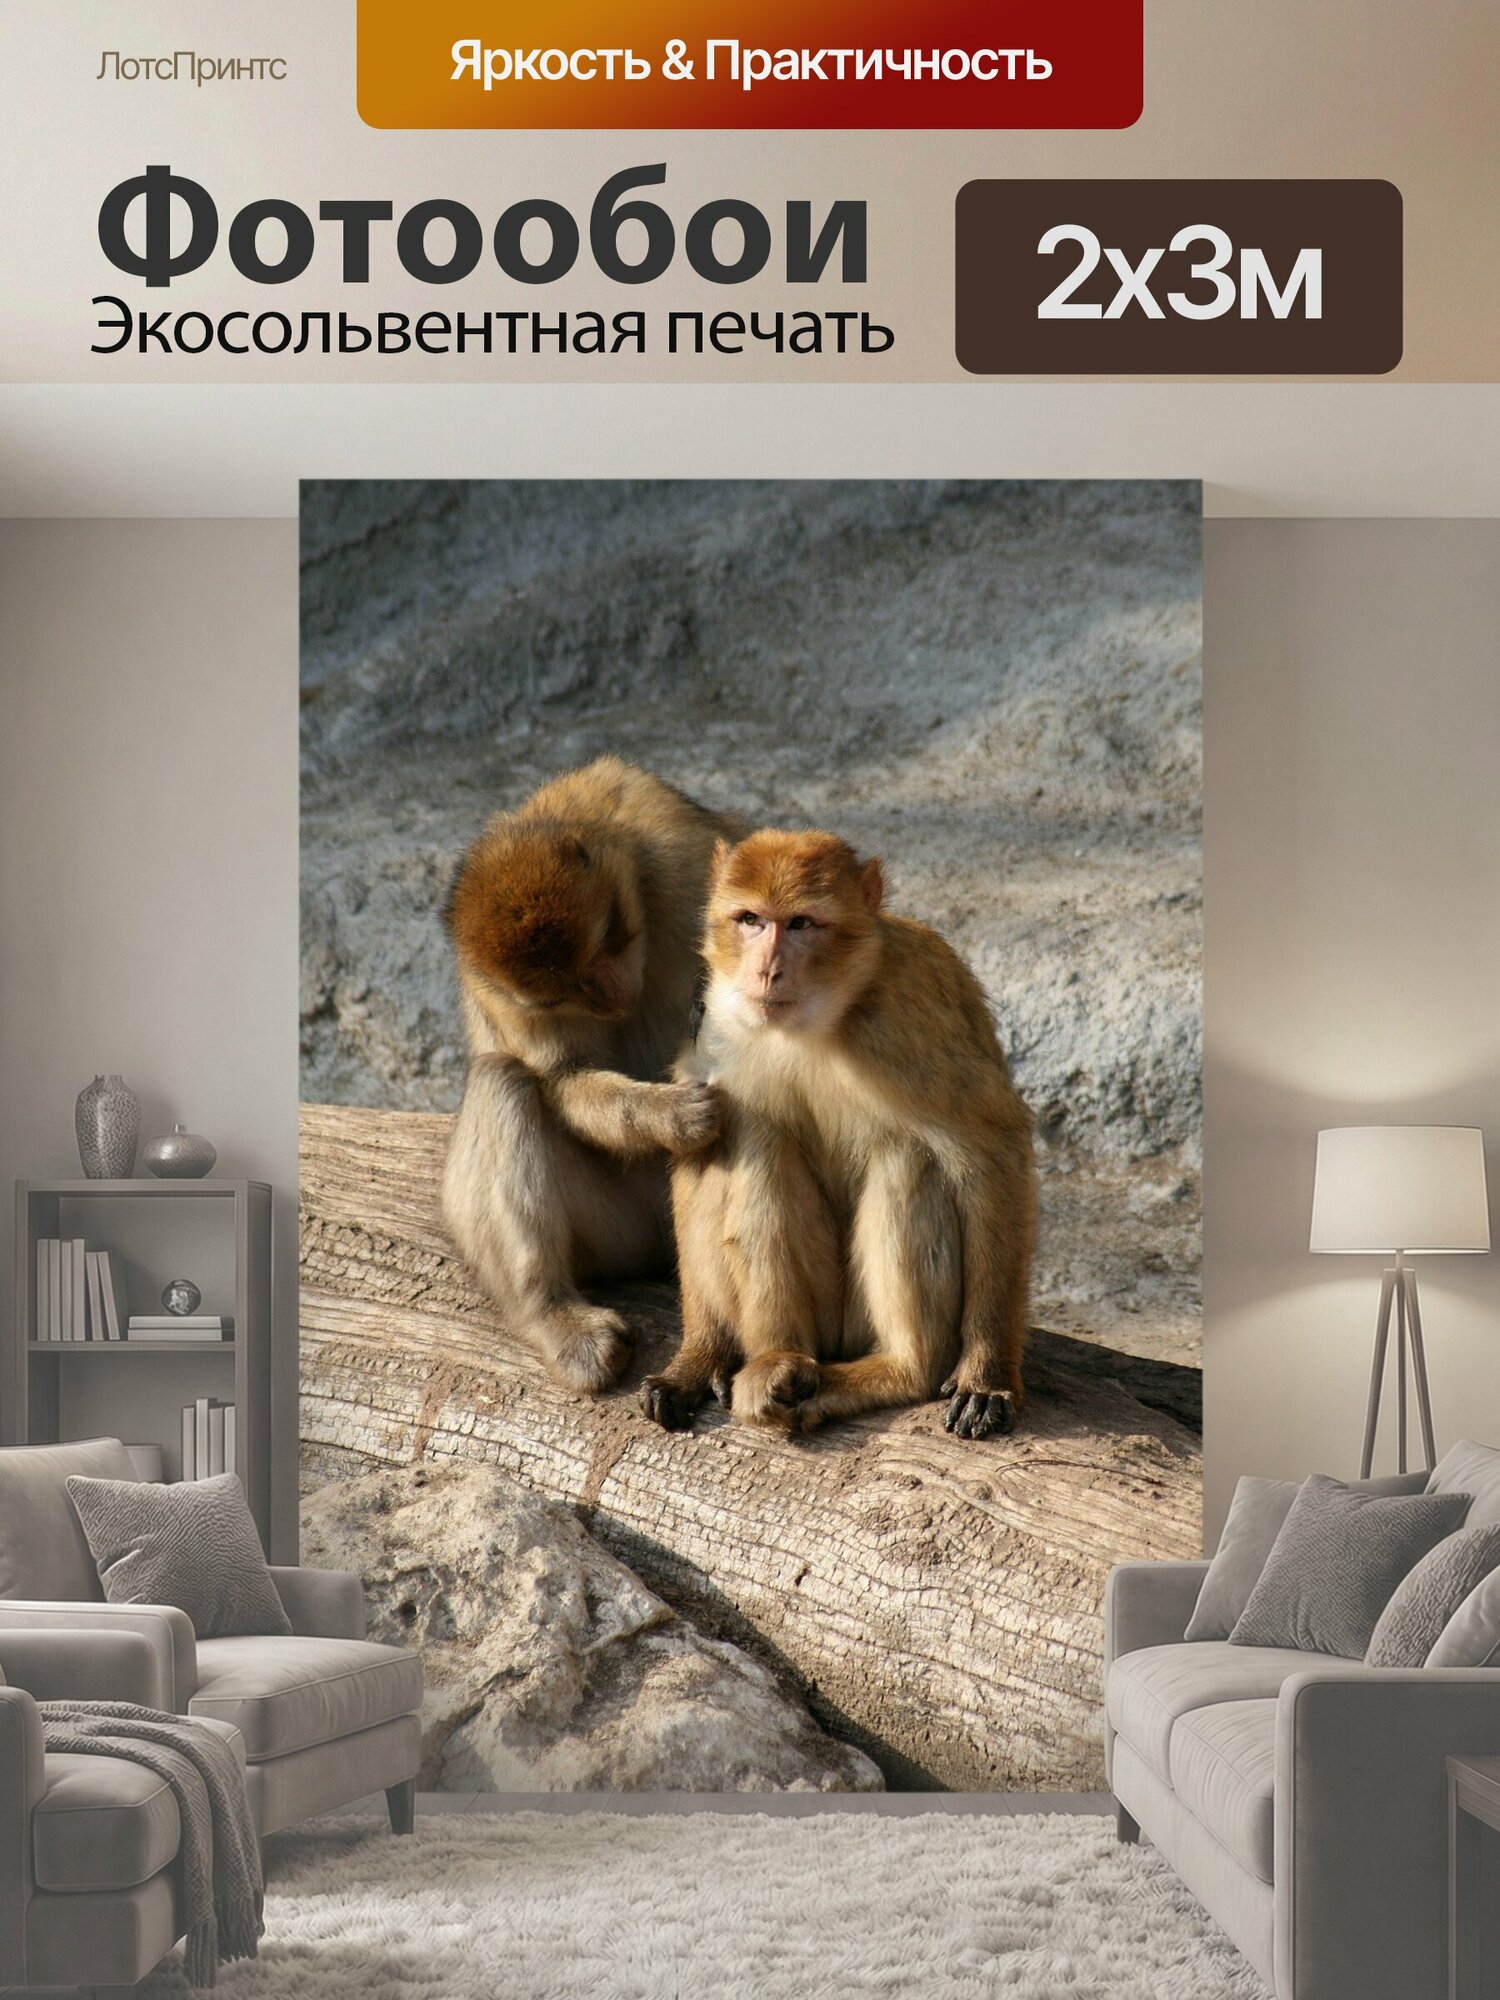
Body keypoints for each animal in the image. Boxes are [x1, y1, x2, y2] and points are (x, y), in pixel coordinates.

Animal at [441, 757, 746, 1394]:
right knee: (503, 1079)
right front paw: (672, 1115)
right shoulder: (500, 992)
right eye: (566, 991)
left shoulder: (677, 845)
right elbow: (561, 1078)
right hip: (622, 1229)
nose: (610, 997)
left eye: (610, 940)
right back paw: (554, 1315)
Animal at [640, 828, 1035, 1442]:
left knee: (907, 1157)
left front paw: (987, 1373)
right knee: (752, 1133)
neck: (817, 1019)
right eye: (751, 919)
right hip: (826, 1324)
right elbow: (698, 1141)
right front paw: (699, 1357)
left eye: (801, 923)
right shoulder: (718, 1025)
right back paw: (780, 1366)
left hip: (857, 1327)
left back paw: (900, 1371)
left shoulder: (910, 1018)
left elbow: (993, 1151)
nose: (766, 971)